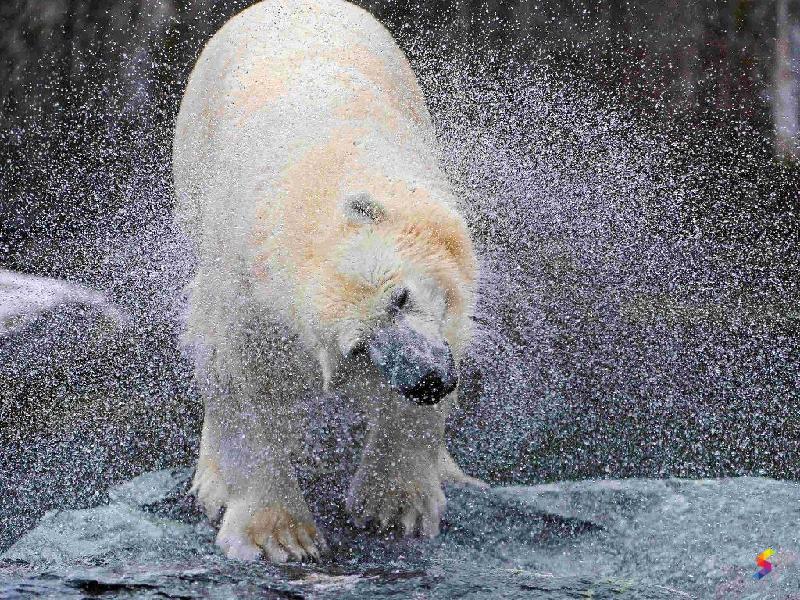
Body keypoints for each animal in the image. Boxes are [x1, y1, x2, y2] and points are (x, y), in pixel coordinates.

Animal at [172, 0, 484, 562]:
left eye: (401, 297)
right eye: (356, 347)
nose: (426, 380)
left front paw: (395, 505)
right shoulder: (242, 294)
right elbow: (238, 377)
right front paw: (279, 535)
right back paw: (211, 480)